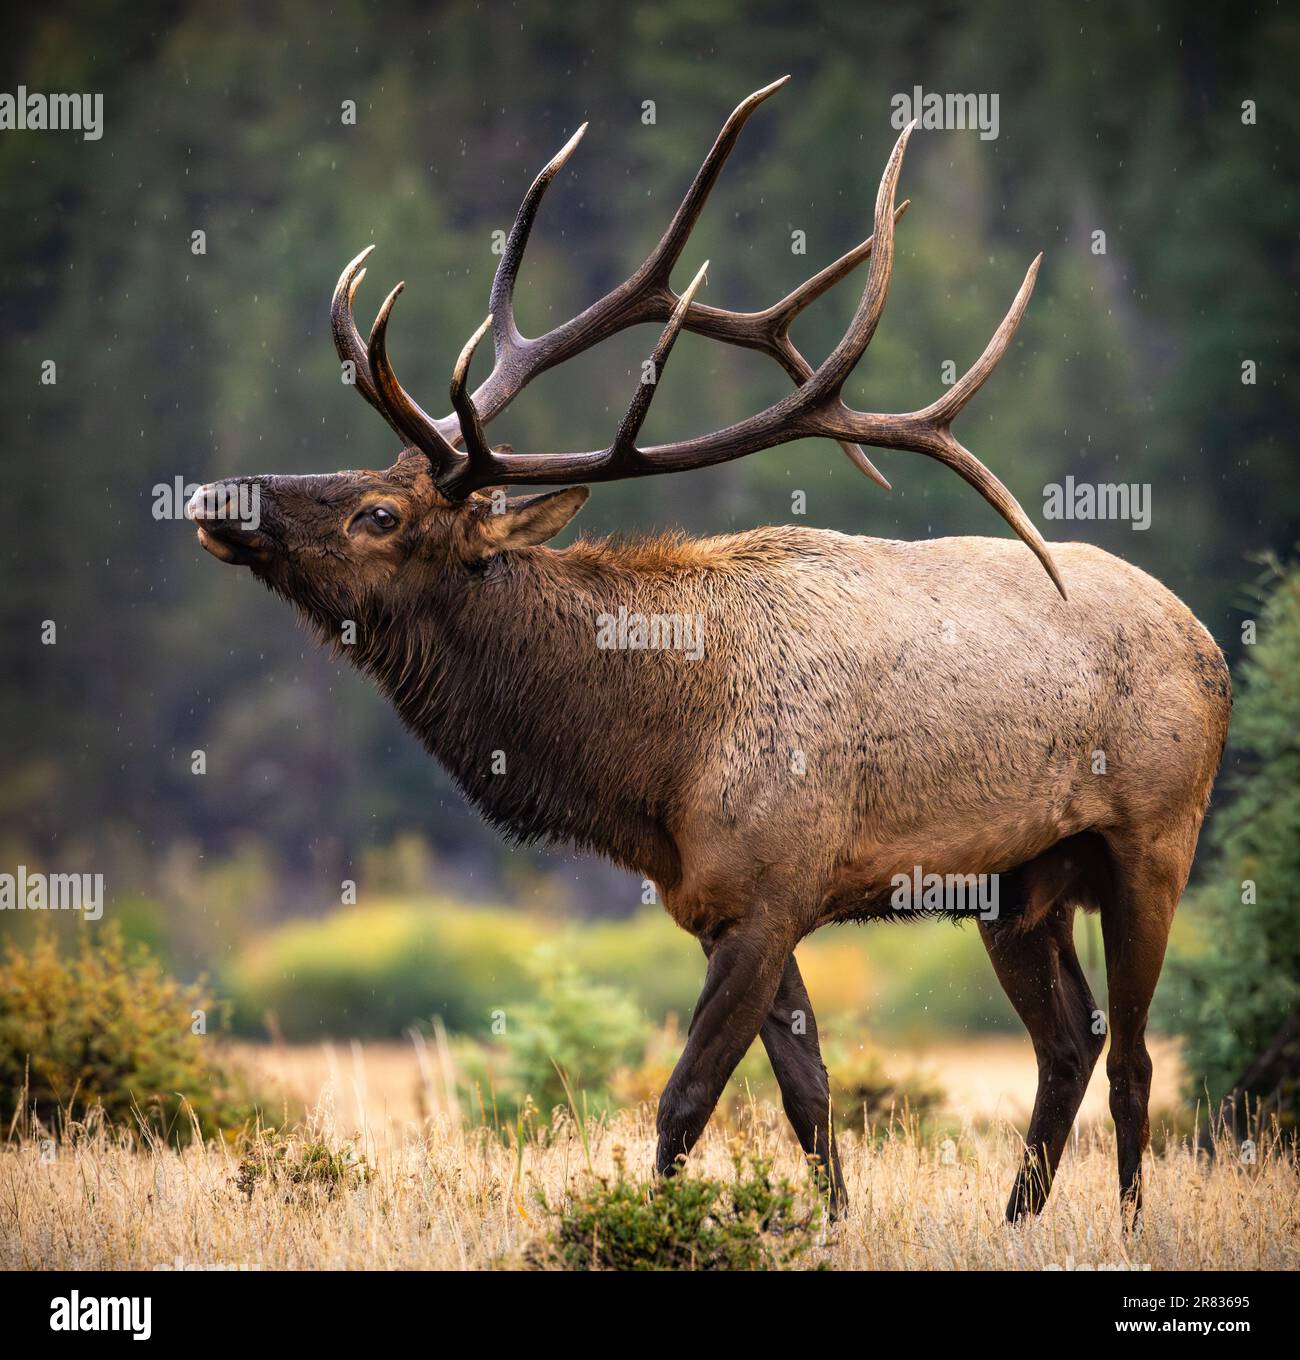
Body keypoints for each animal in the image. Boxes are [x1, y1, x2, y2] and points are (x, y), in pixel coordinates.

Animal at [188, 78, 1231, 1225]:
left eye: (378, 513)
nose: (218, 494)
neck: (651, 766)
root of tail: (1207, 637)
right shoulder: (720, 905)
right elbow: (810, 1097)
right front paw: (833, 1224)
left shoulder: (773, 891)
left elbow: (686, 1099)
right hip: (1014, 885)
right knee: (1067, 1042)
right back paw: (1013, 1222)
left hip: (1153, 838)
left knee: (1132, 1054)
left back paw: (1126, 1226)